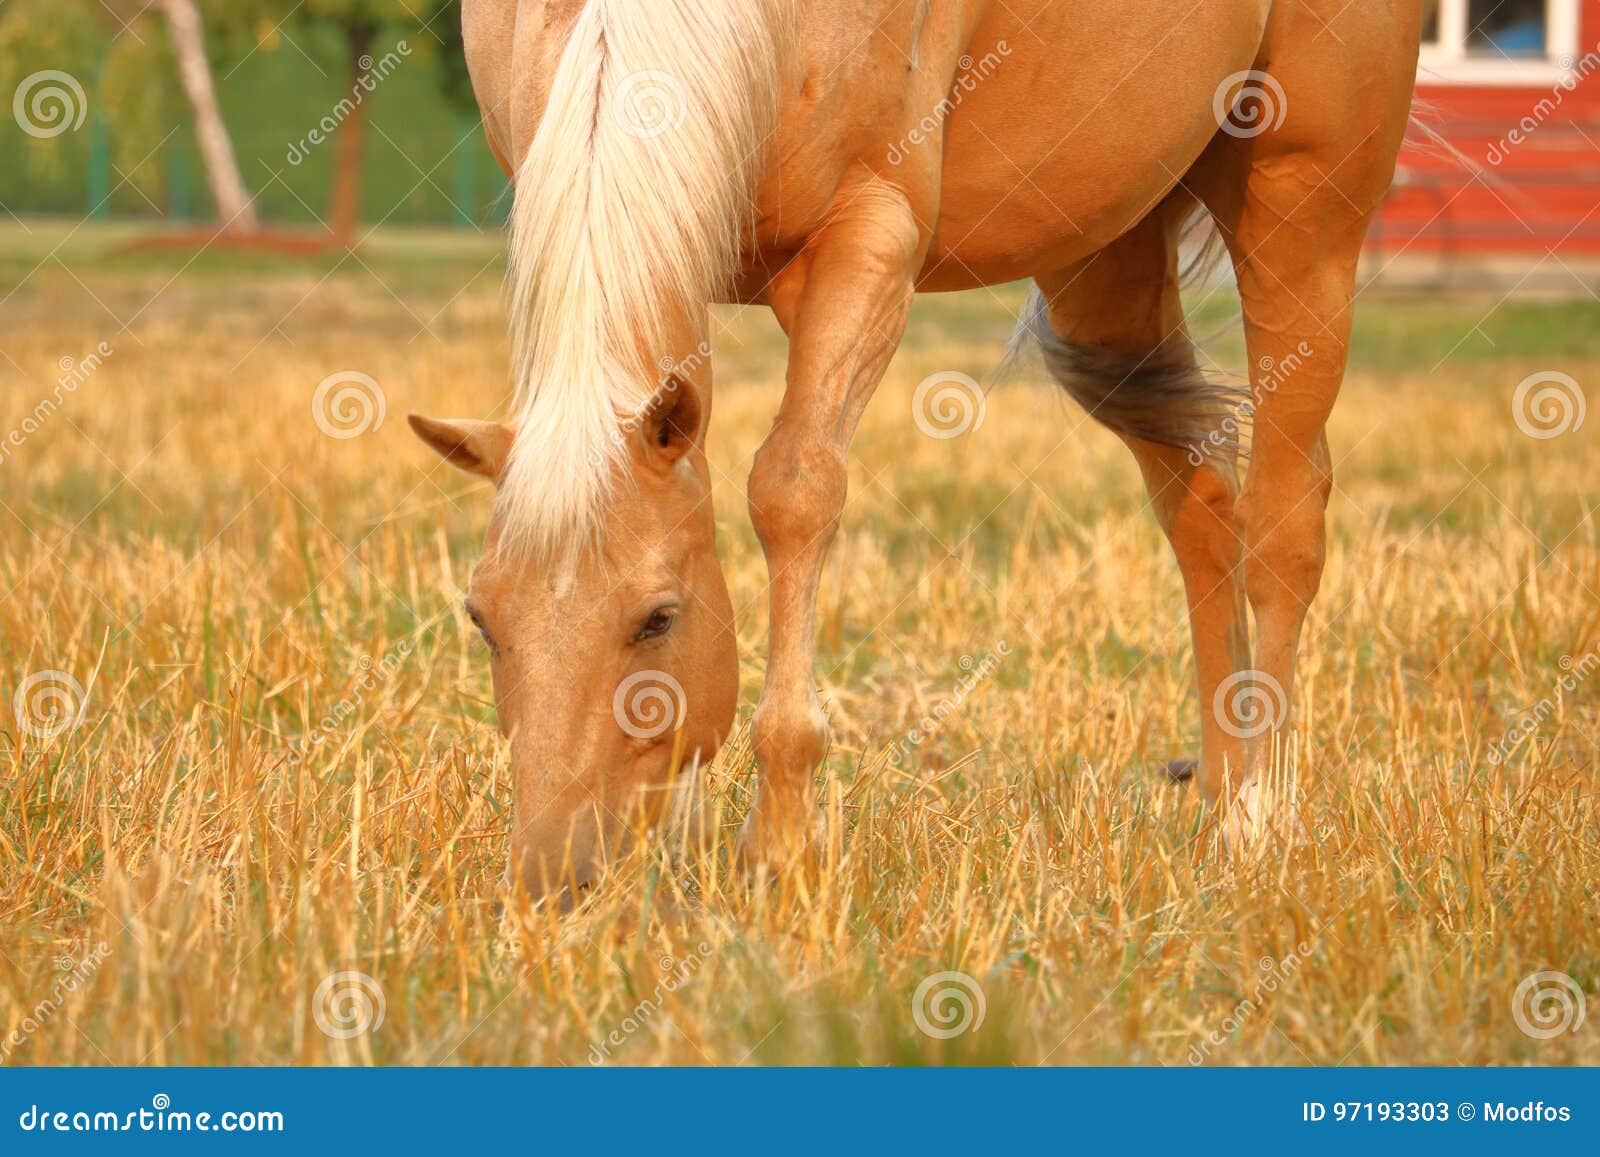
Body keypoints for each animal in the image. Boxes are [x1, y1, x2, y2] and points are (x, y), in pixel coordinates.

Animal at [408, 0, 1422, 899]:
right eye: (482, 618)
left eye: (657, 619)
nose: (552, 881)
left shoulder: (867, 244)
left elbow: (792, 491)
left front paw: (779, 848)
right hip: (1107, 252)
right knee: (1203, 507)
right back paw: (1218, 801)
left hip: (1301, 218)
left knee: (1285, 523)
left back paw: (1259, 822)